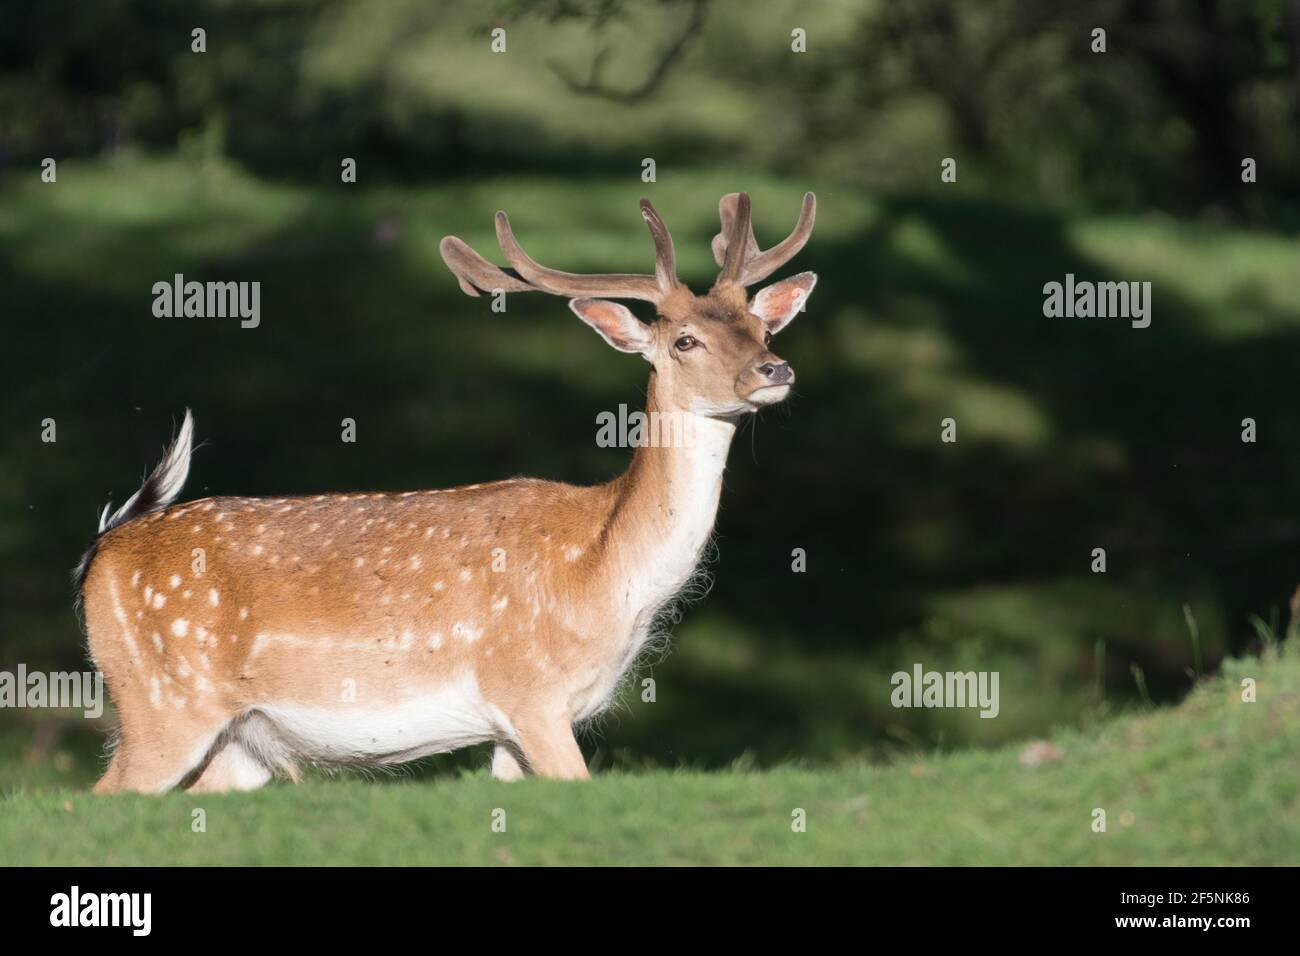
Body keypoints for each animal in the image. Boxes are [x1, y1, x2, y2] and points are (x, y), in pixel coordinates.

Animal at [77, 192, 817, 793]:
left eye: (762, 327)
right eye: (685, 340)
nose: (774, 369)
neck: (603, 574)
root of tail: (102, 551)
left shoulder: (514, 727)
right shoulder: (529, 692)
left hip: (242, 739)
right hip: (161, 702)